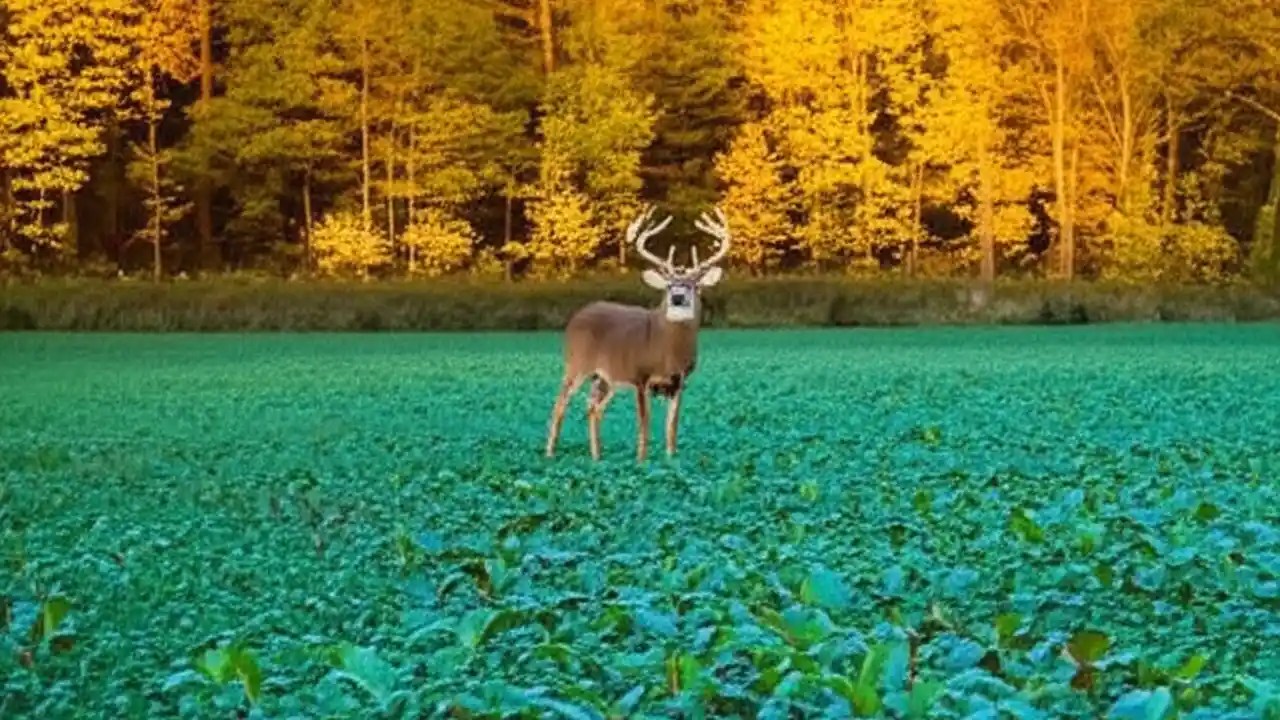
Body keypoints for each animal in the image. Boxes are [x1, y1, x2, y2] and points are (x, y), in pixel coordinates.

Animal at [544, 205, 732, 462]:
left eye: (695, 285)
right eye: (669, 285)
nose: (678, 297)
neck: (668, 353)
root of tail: (577, 315)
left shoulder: (679, 382)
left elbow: (672, 428)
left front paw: (671, 459)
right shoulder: (640, 375)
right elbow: (644, 424)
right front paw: (641, 461)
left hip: (604, 377)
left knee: (593, 407)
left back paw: (597, 457)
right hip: (576, 364)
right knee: (560, 403)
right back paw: (550, 454)